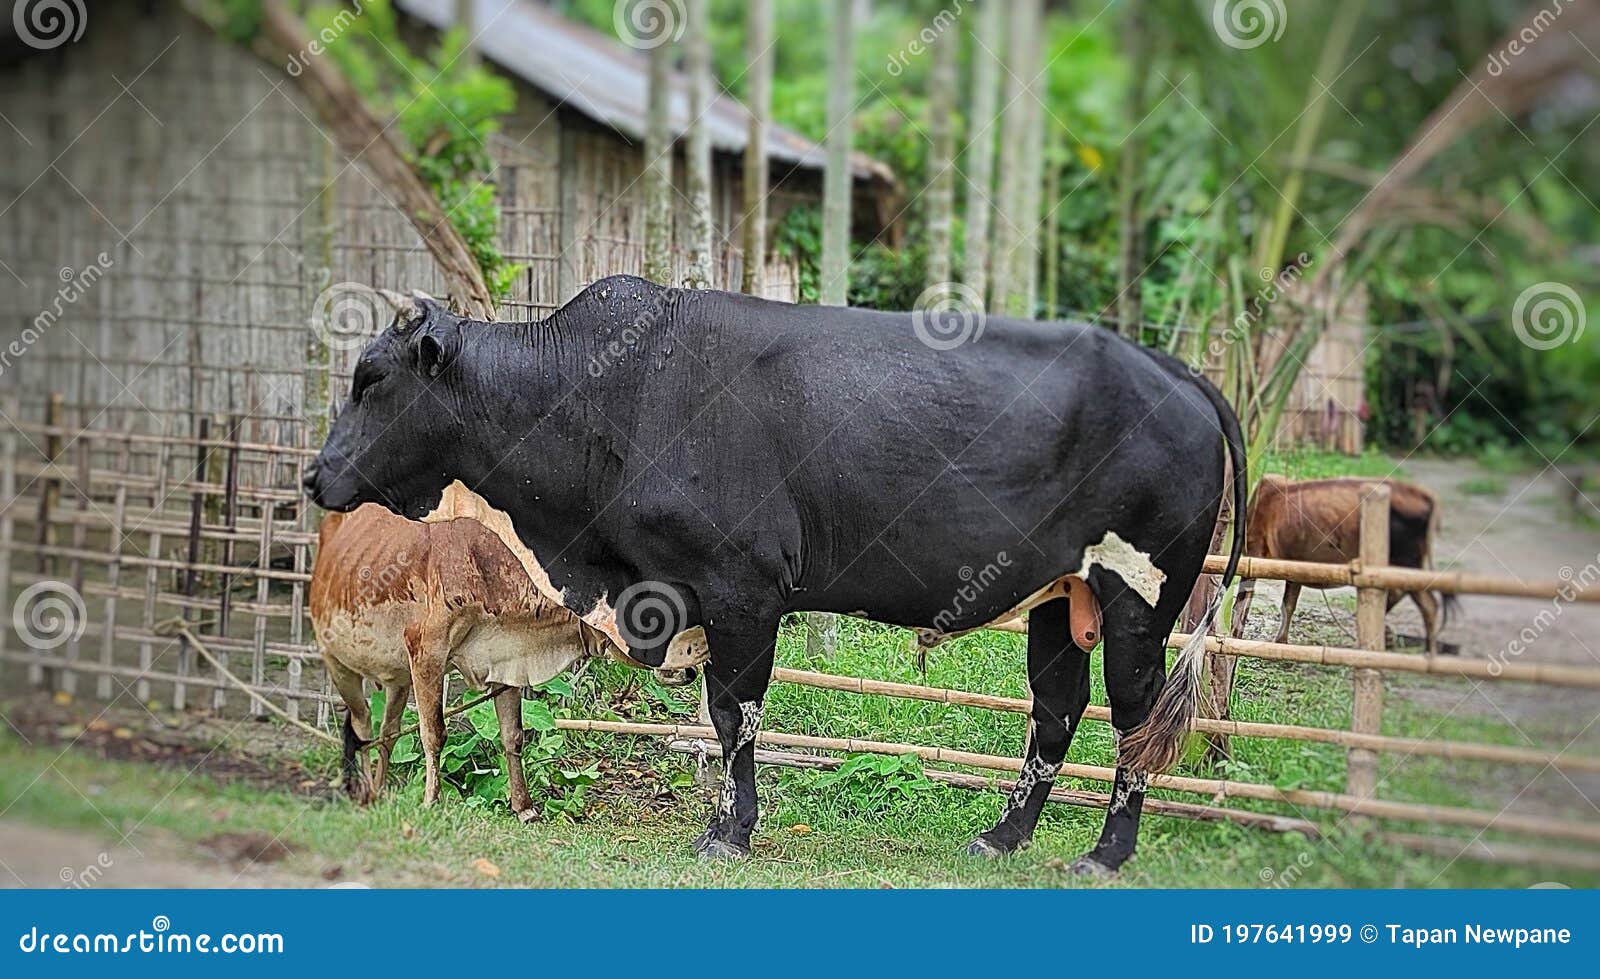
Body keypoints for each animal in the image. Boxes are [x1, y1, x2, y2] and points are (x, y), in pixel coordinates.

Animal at [310, 501, 708, 818]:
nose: (697, 659)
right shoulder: (425, 649)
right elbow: (434, 733)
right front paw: (430, 801)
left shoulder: (508, 661)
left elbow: (512, 736)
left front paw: (524, 808)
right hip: (338, 663)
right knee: (362, 726)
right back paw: (365, 792)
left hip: (396, 679)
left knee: (387, 732)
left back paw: (378, 789)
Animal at [1235, 475, 1459, 654]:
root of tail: (1422, 494)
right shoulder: (1294, 566)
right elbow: (1288, 604)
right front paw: (1281, 641)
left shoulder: (1254, 552)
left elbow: (1244, 602)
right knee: (1401, 594)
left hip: (1408, 560)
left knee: (1429, 604)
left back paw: (1429, 653)